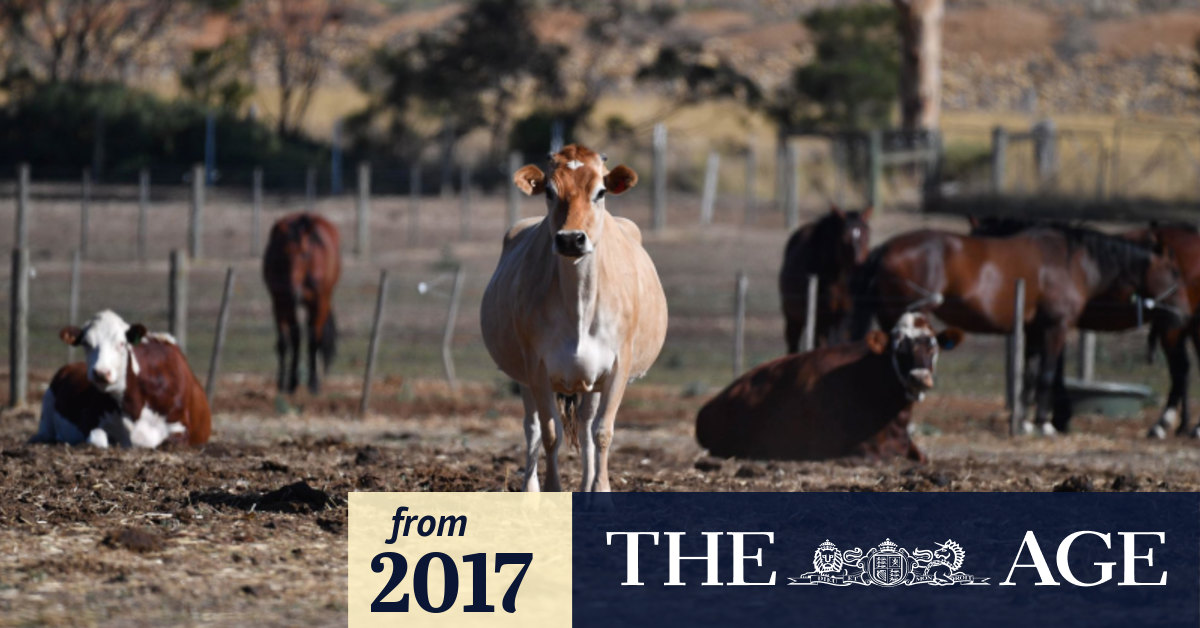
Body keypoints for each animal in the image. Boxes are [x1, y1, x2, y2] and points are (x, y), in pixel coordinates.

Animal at [30, 310, 211, 448]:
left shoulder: (180, 427)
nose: (101, 372)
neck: (133, 404)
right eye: (86, 344)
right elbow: (97, 439)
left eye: (122, 343)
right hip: (45, 419)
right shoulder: (89, 421)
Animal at [262, 212, 341, 394]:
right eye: (283, 254)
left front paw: (313, 383)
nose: (293, 292)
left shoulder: (318, 302)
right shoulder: (280, 302)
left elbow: (313, 340)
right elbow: (287, 341)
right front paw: (286, 383)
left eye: (305, 254)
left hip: (323, 300)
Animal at [480, 144, 669, 492]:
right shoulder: (536, 366)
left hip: (590, 381)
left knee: (585, 427)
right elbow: (550, 431)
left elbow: (602, 432)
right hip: (524, 376)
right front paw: (553, 490)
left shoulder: (618, 365)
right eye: (550, 192)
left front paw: (601, 490)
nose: (570, 239)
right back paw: (530, 489)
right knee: (532, 427)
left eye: (601, 192)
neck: (579, 305)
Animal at [779, 206, 872, 352]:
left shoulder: (845, 316)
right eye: (844, 238)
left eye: (866, 236)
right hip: (792, 318)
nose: (860, 265)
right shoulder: (822, 319)